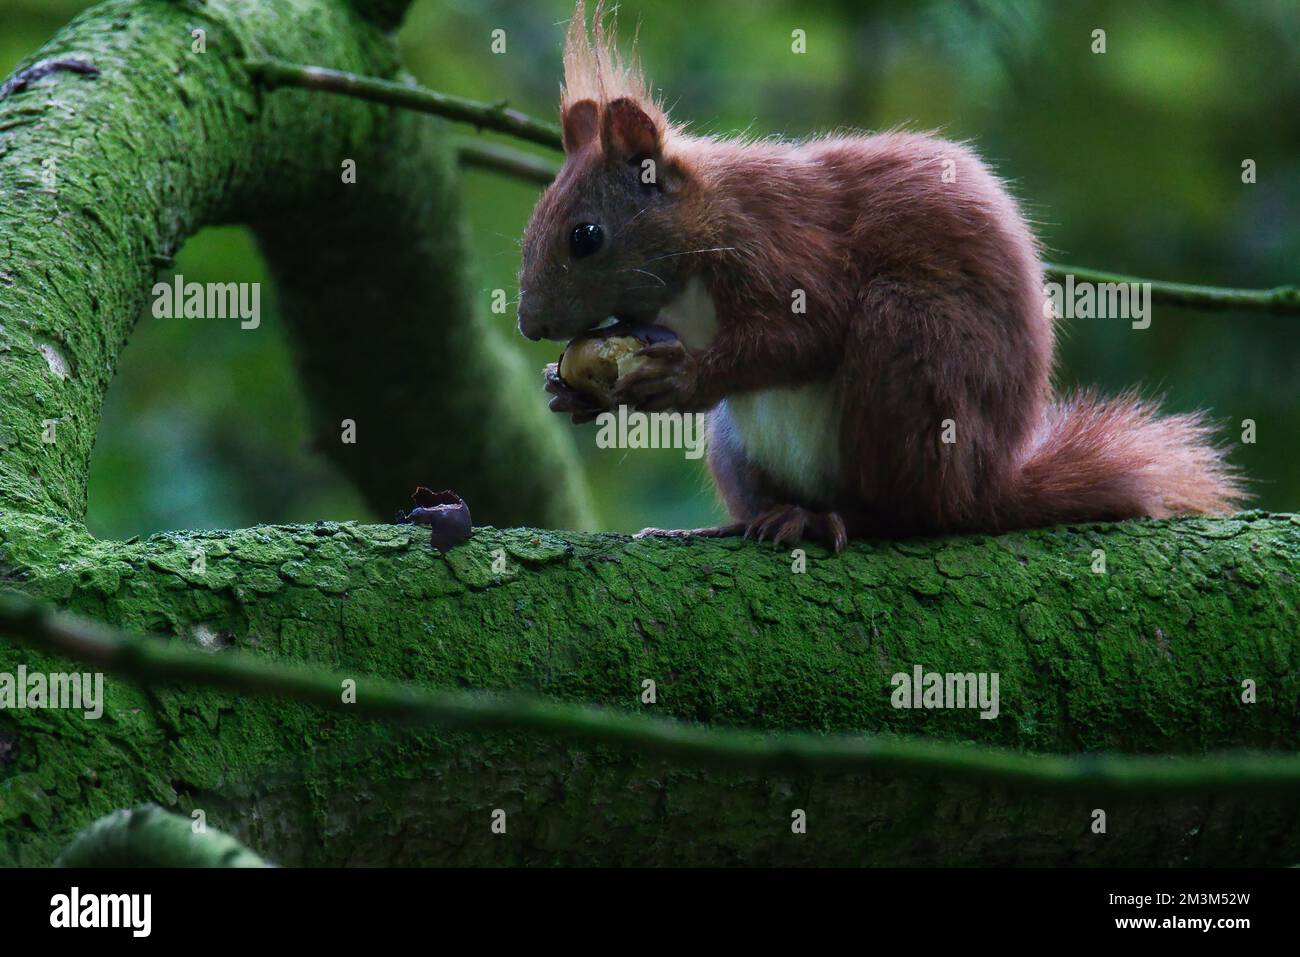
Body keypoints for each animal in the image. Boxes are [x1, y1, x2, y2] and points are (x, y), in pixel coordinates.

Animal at [516, 0, 1244, 553]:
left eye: (586, 237)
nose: (529, 323)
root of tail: (989, 485)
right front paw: (568, 391)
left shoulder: (784, 246)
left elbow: (806, 332)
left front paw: (684, 378)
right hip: (739, 442)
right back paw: (737, 522)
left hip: (911, 348)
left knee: (912, 513)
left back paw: (840, 520)